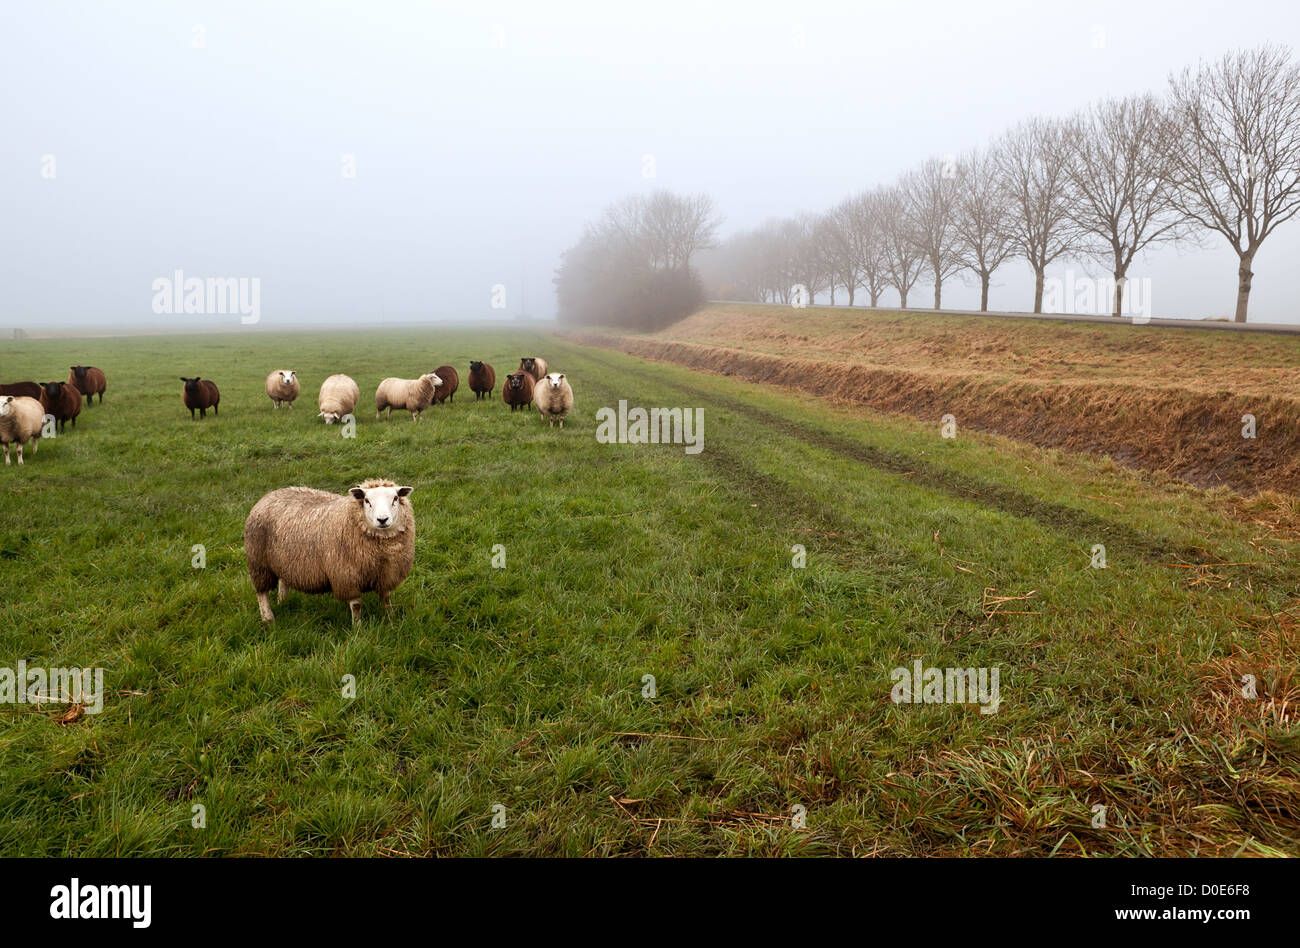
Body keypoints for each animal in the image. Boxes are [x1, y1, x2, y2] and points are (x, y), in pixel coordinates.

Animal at [243, 478, 415, 625]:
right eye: (367, 501)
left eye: (395, 498)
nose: (382, 520)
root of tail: (269, 495)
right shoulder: (346, 576)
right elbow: (356, 605)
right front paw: (358, 628)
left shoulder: (387, 575)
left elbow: (386, 598)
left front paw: (391, 618)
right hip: (258, 562)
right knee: (262, 593)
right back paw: (268, 618)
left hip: (284, 560)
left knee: (284, 581)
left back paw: (283, 602)